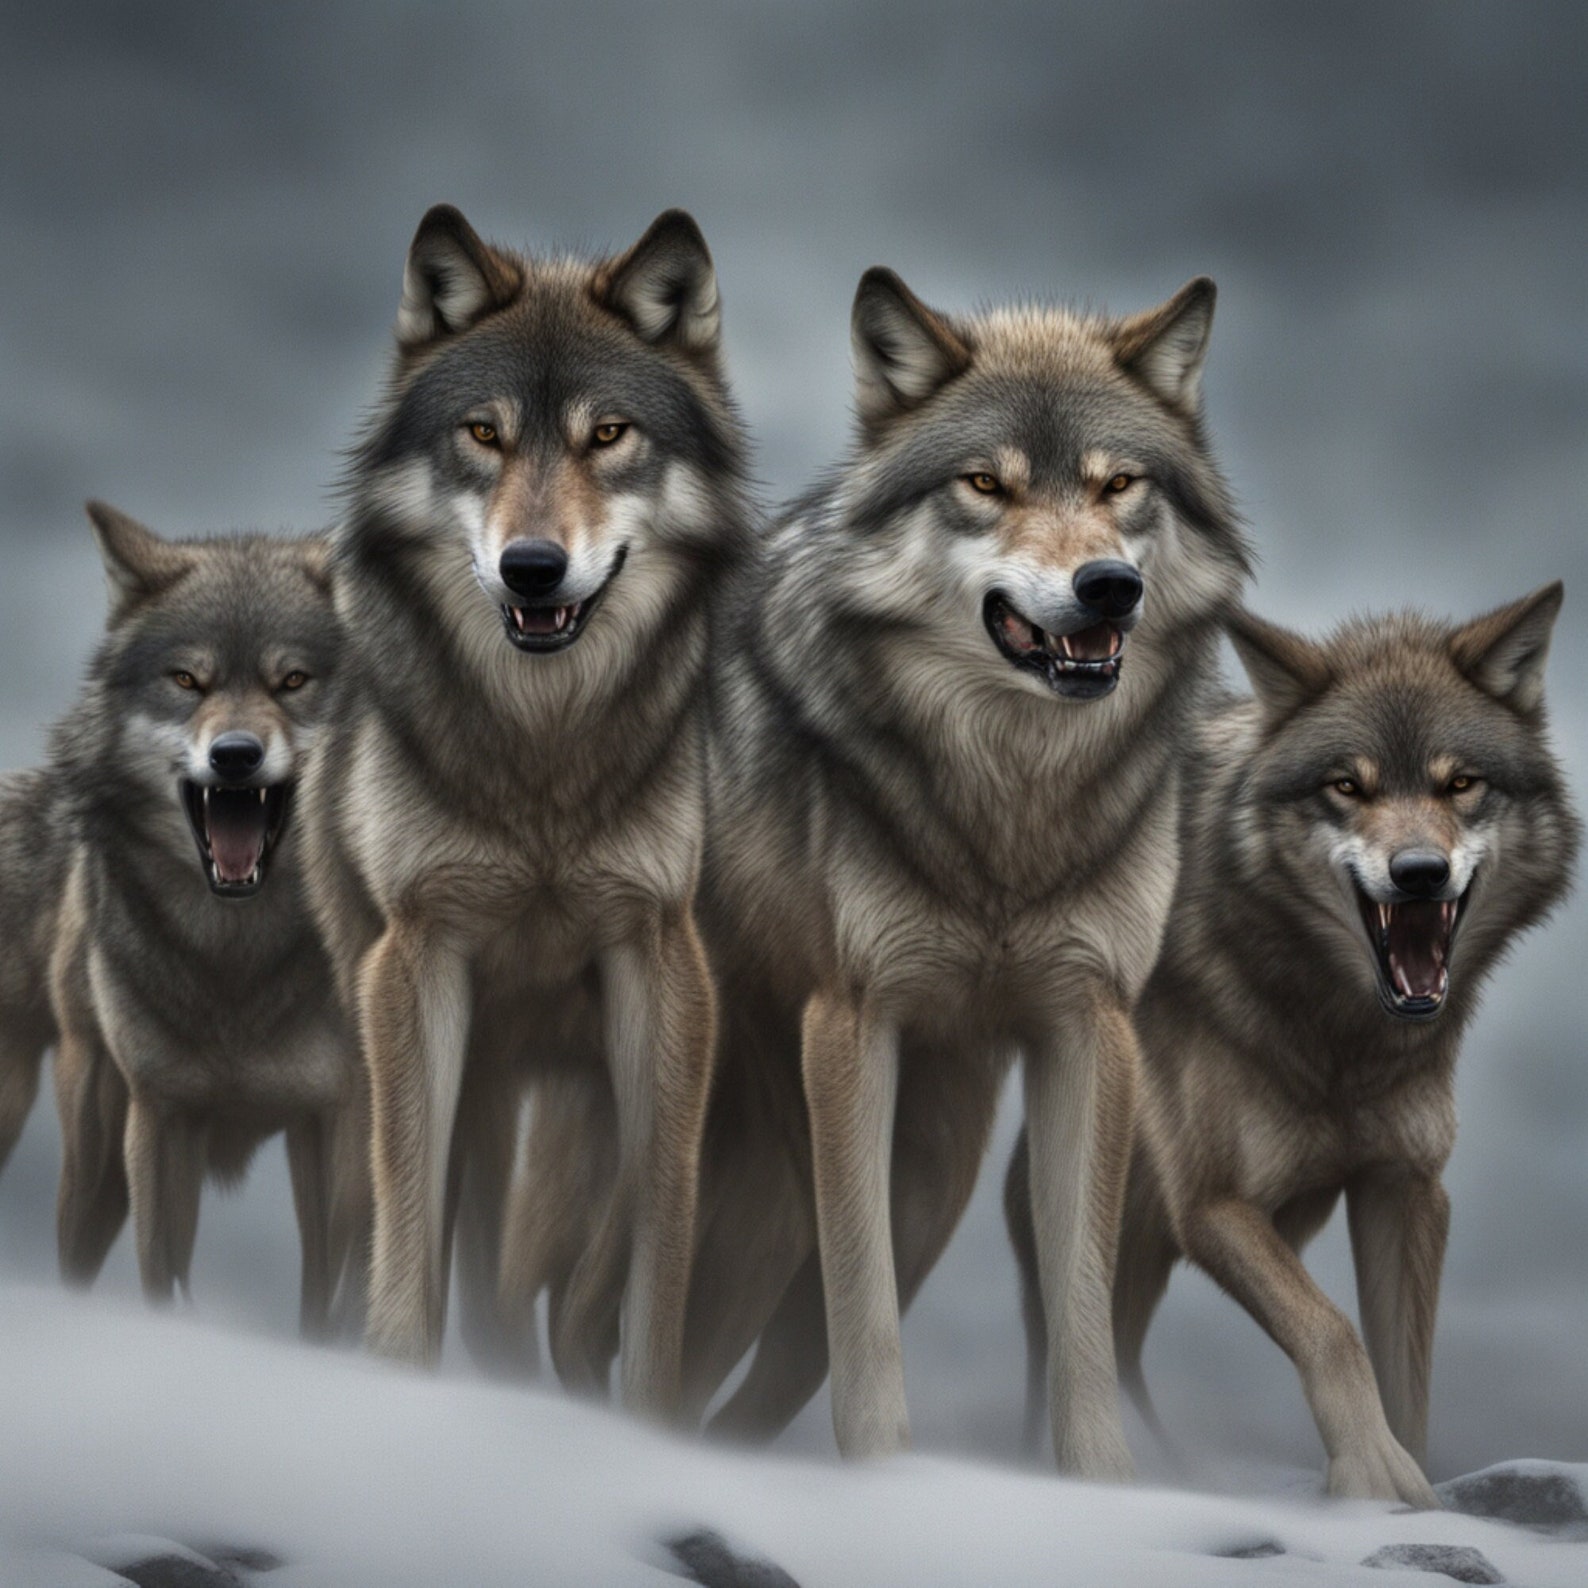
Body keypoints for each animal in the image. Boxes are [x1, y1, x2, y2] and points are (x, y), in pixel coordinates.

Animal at [38, 504, 364, 1334]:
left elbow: (331, 1300)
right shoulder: (161, 1120)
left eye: (293, 681)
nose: (236, 755)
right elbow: (162, 1278)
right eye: (188, 680)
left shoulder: (337, 1123)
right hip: (95, 1152)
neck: (235, 961)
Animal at [299, 204, 751, 1412]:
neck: (543, 747)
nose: (533, 567)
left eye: (608, 436)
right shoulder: (417, 958)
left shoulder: (664, 961)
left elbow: (662, 1239)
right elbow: (410, 1237)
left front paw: (645, 1415)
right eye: (484, 435)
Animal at [554, 265, 1254, 1471]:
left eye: (1120, 485)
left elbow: (1078, 1309)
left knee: (722, 1390)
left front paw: (1100, 1482)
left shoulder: (1089, 1027)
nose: (1108, 587)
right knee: (593, 1325)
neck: (1008, 809)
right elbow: (865, 1310)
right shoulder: (850, 1022)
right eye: (985, 484)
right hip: (689, 1177)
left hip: (898, 1196)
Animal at [1006, 591, 1580, 1502]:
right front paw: (1374, 1469)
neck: (1342, 1039)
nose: (1420, 872)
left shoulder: (1406, 1186)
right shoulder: (1214, 1204)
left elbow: (1406, 1377)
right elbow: (1332, 1331)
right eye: (1347, 785)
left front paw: (1410, 1474)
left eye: (1461, 784)